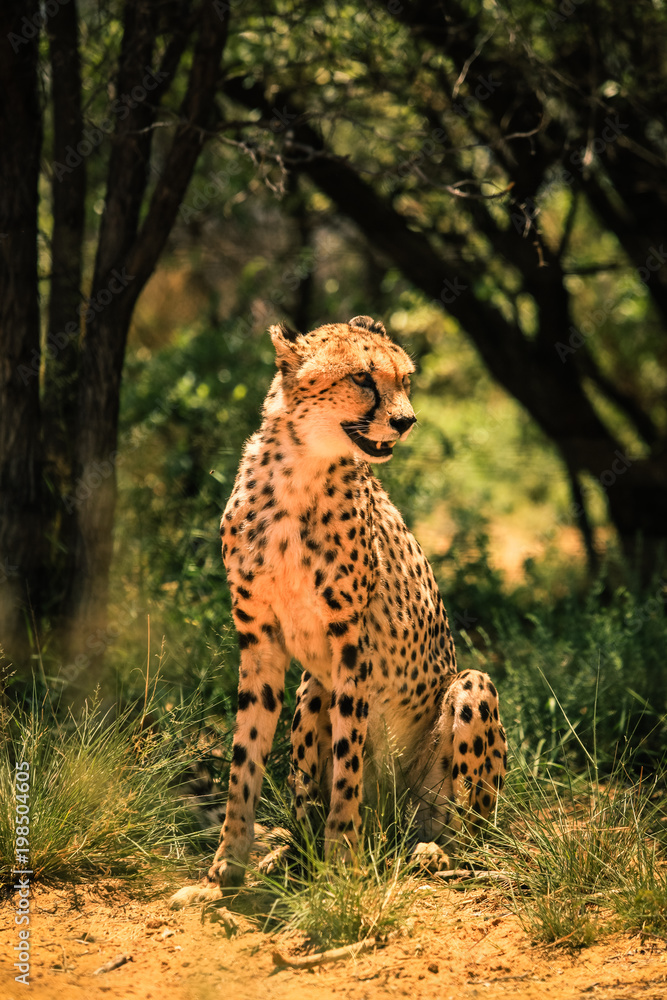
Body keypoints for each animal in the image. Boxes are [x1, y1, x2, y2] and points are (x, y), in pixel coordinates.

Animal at [171, 315, 506, 903]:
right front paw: (225, 869)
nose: (406, 421)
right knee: (308, 788)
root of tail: (393, 819)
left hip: (468, 693)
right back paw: (291, 857)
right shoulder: (260, 641)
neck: (299, 469)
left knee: (469, 828)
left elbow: (348, 763)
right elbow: (245, 759)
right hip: (311, 689)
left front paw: (343, 867)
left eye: (405, 379)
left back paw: (436, 852)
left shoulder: (352, 646)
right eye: (362, 378)